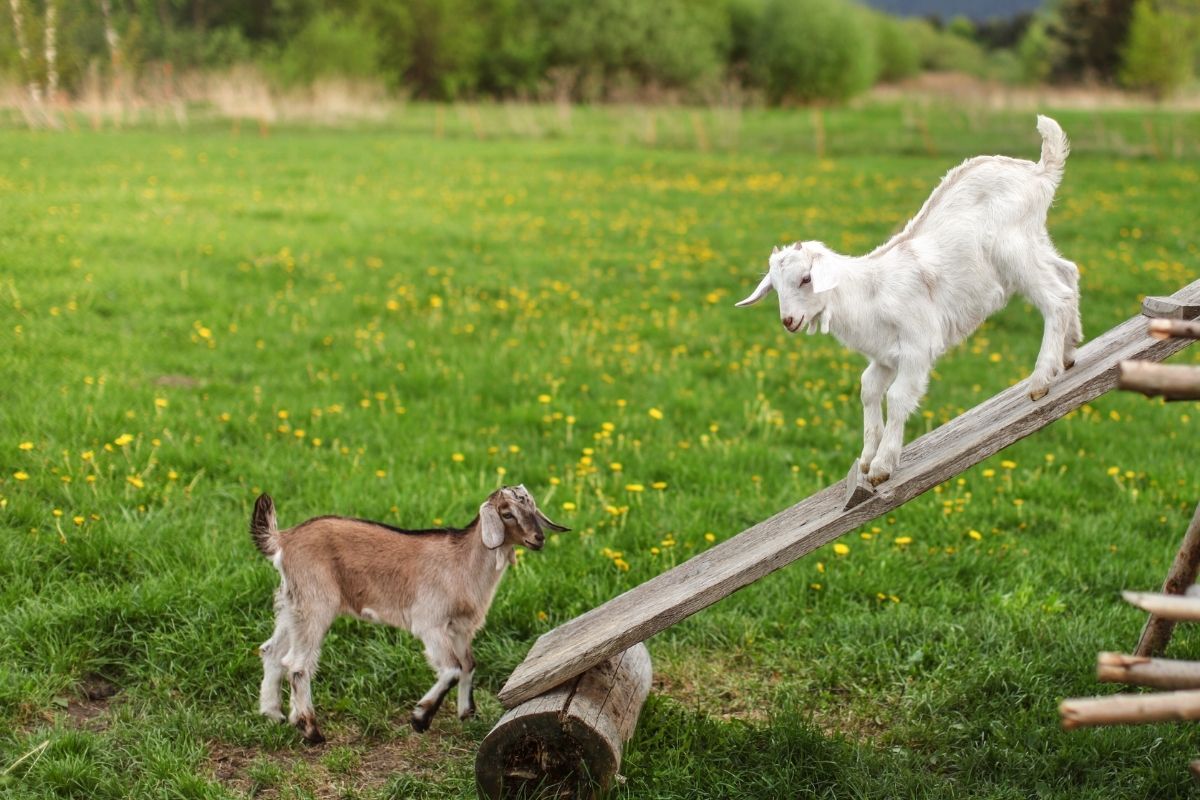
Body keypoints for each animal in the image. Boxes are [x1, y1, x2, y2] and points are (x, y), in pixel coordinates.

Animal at [250, 485, 567, 743]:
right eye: (507, 513)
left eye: (532, 507)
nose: (538, 538)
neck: (463, 562)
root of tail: (284, 539)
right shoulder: (430, 624)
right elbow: (452, 669)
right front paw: (420, 718)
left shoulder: (461, 628)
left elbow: (468, 664)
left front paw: (467, 715)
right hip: (316, 603)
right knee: (297, 664)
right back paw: (310, 730)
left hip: (292, 604)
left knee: (271, 652)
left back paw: (274, 715)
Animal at [736, 115, 1081, 486]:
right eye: (774, 287)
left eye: (805, 278)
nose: (788, 321)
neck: (867, 291)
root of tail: (1040, 173)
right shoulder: (885, 355)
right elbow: (868, 388)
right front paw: (866, 458)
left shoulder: (918, 345)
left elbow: (898, 397)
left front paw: (882, 466)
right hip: (1035, 242)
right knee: (1068, 272)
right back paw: (1070, 349)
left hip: (1013, 251)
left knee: (1056, 298)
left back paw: (1041, 379)